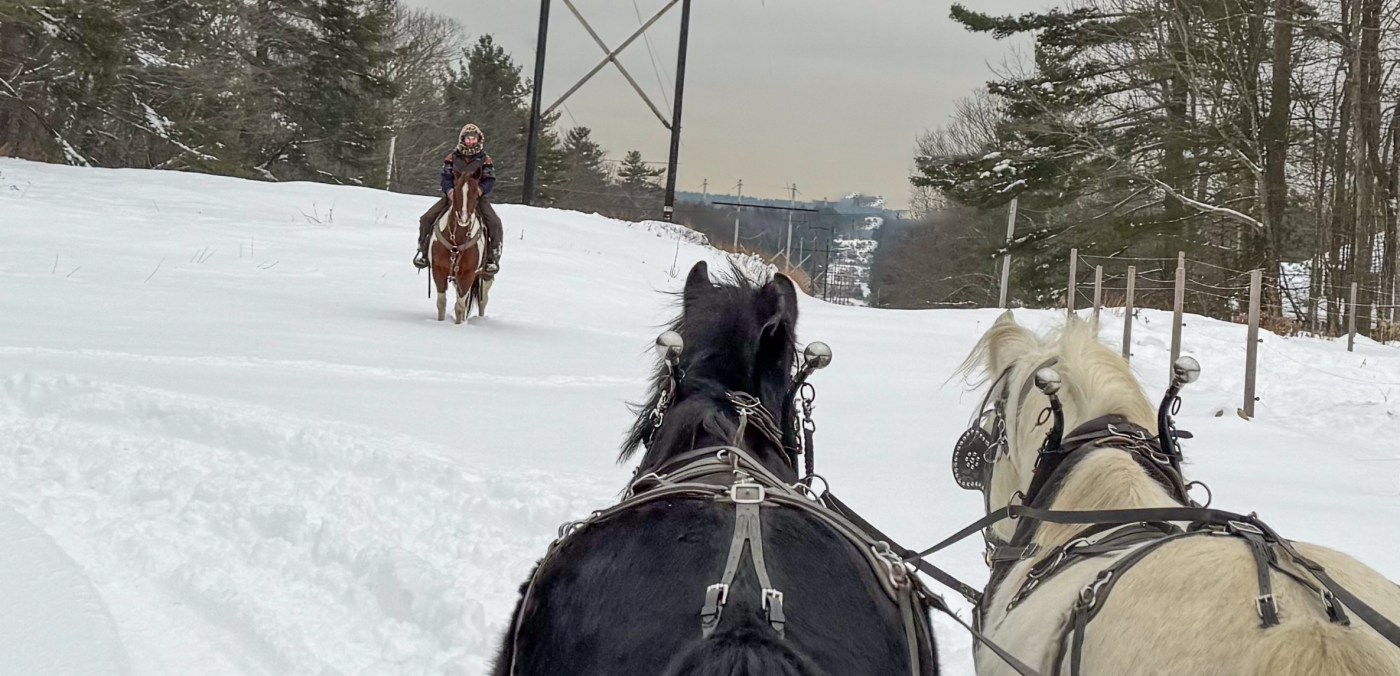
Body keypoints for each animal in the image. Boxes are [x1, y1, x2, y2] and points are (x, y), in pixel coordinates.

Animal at [430, 174, 491, 323]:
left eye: (475, 193)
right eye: (456, 189)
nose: (463, 217)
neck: (456, 240)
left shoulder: (467, 274)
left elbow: (459, 306)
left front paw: (458, 325)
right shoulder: (438, 270)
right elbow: (441, 303)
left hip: (485, 277)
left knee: (483, 300)